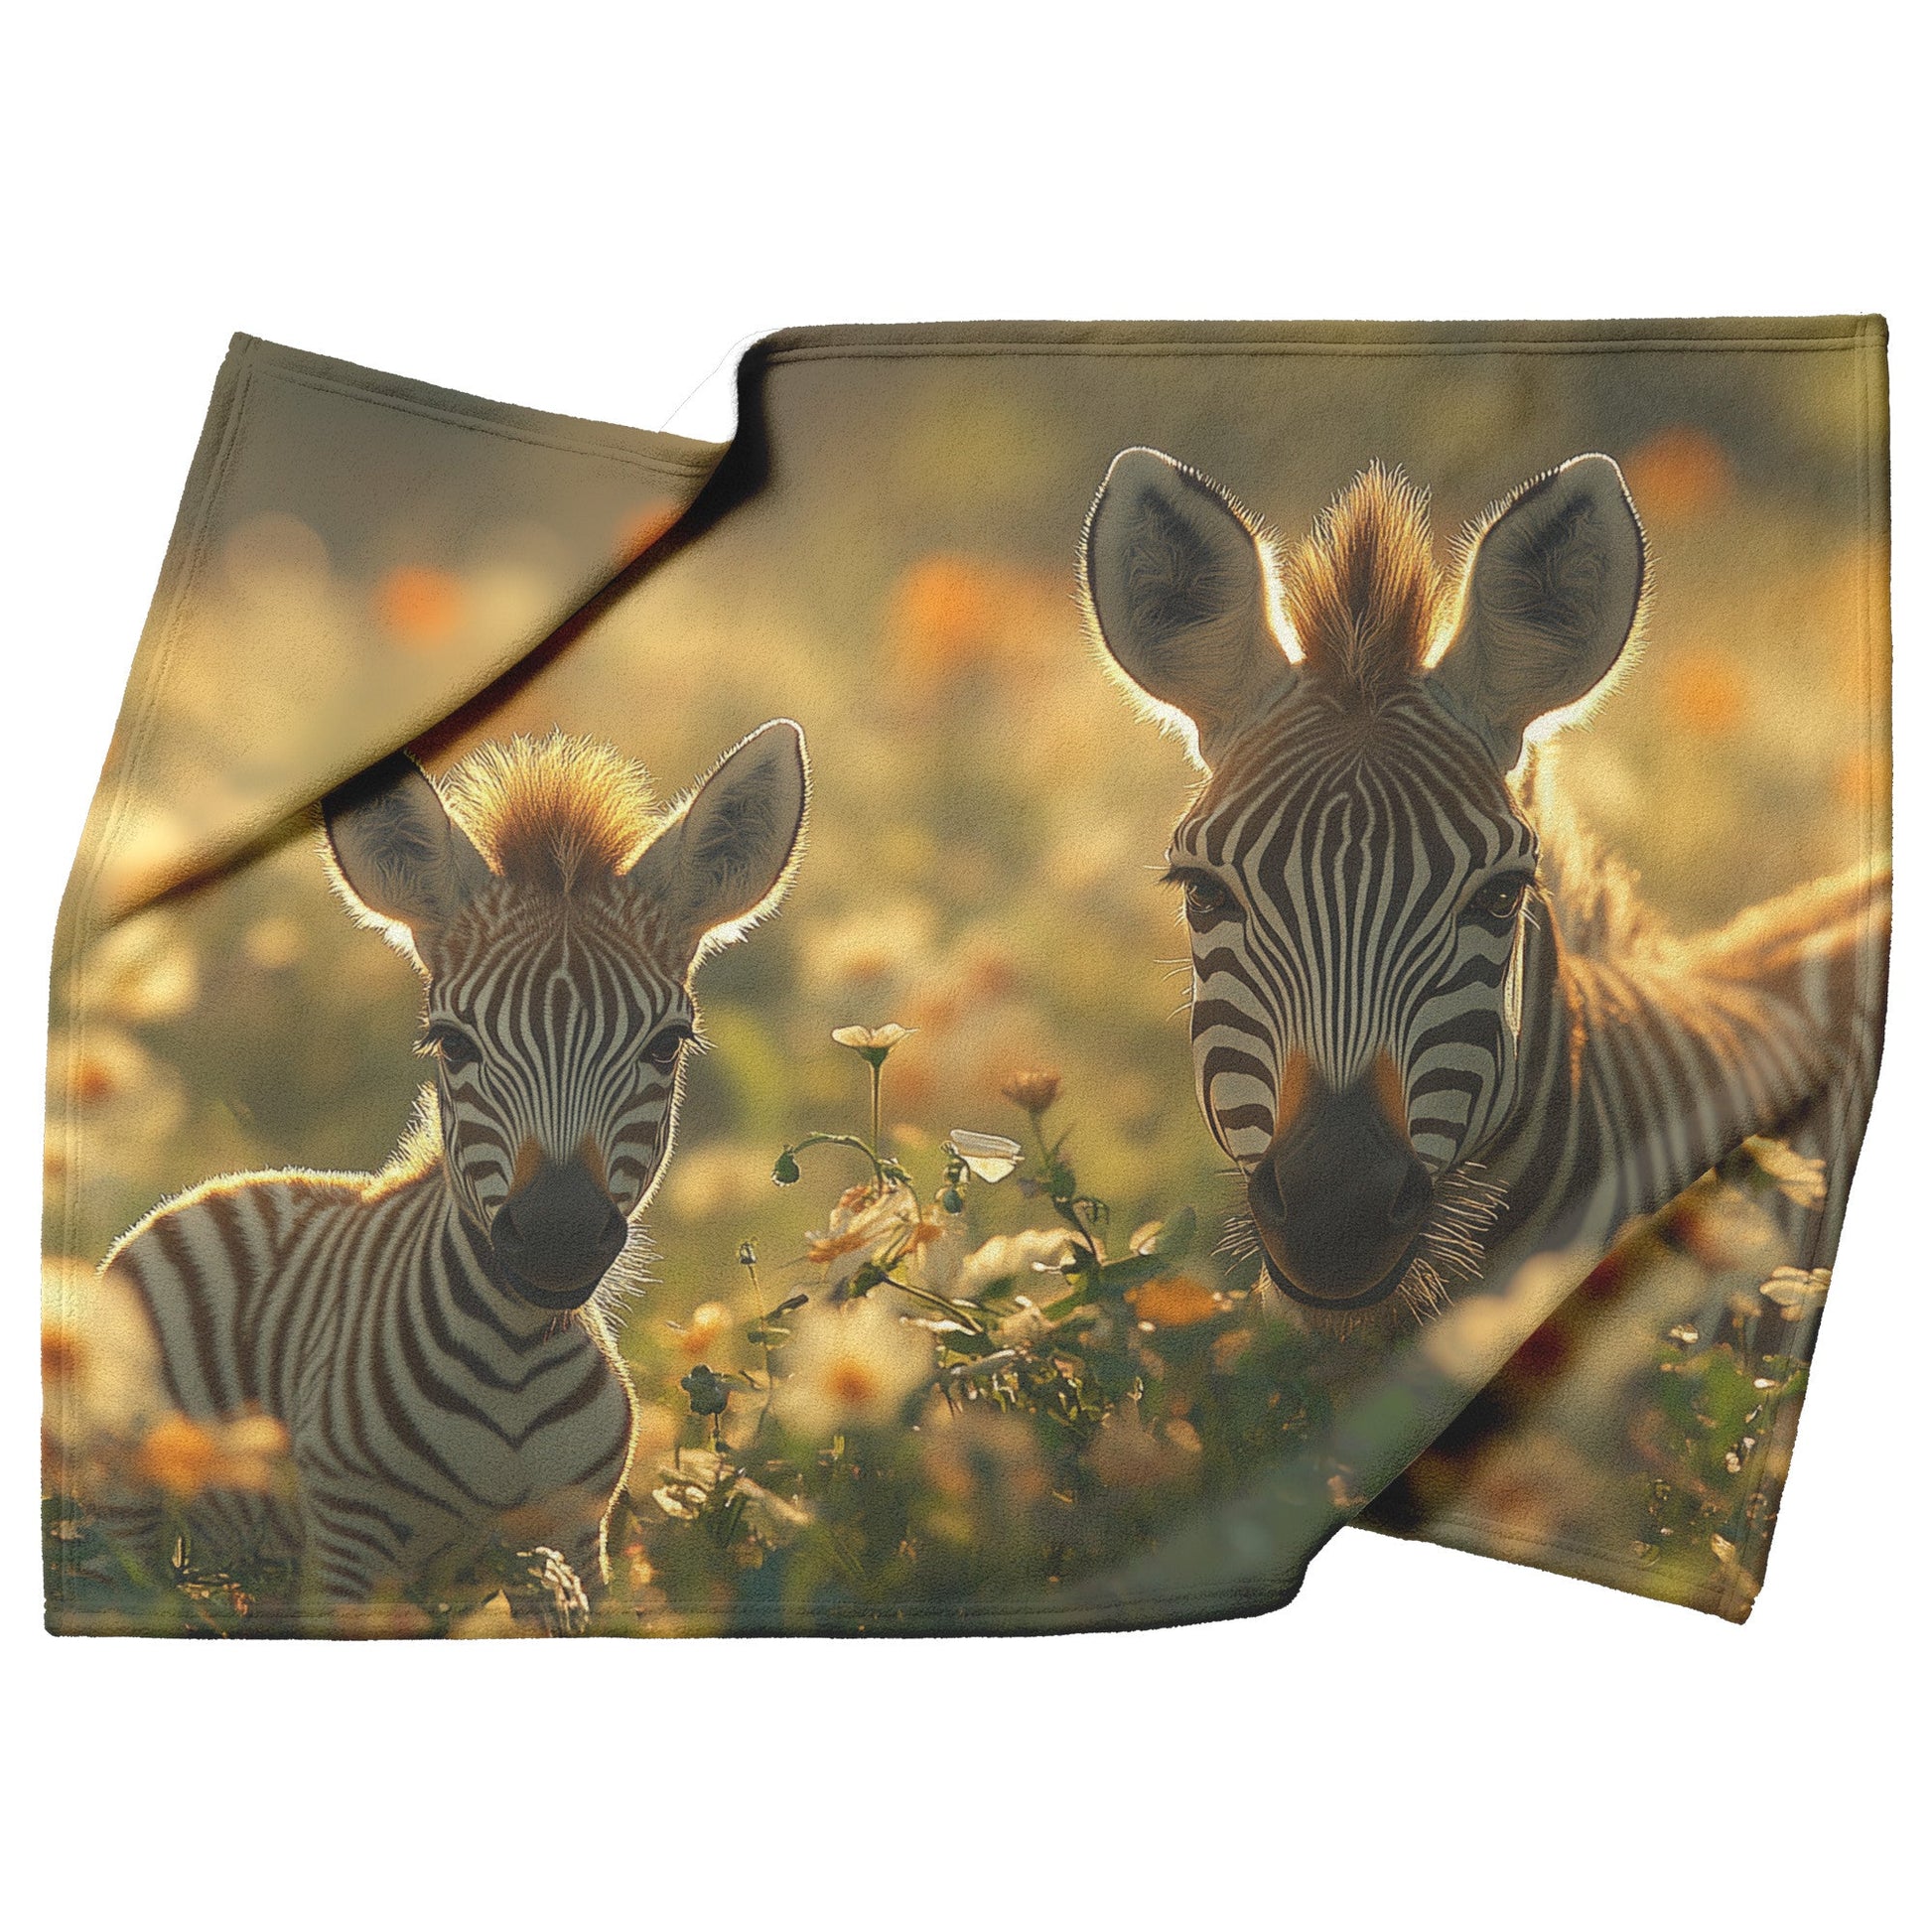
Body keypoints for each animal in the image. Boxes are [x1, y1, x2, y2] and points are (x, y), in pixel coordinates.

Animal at [84, 722, 808, 1625]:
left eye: (666, 1045)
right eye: (452, 1043)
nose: (560, 1237)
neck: (517, 1360)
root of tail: (212, 1188)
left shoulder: (568, 1544)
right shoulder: (351, 1548)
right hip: (129, 1514)